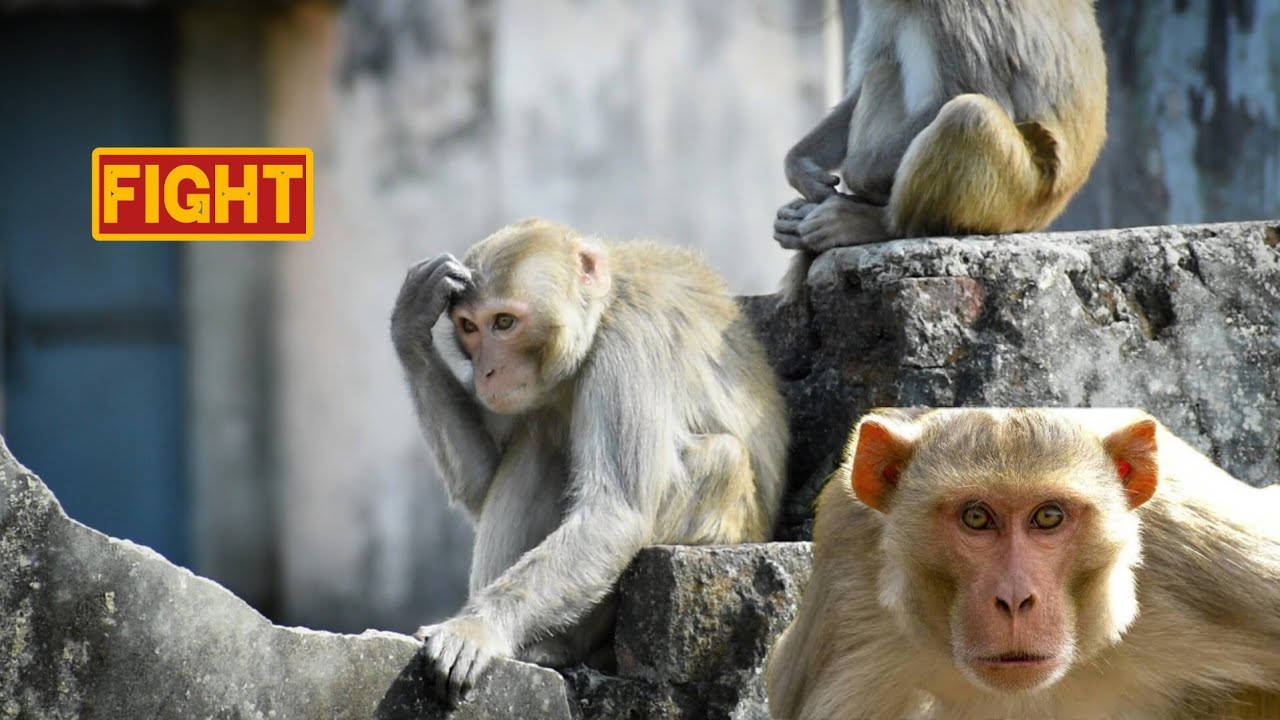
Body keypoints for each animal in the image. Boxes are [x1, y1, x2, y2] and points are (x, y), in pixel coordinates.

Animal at [390, 218, 789, 704]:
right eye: (469, 326)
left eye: (503, 323)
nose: (486, 372)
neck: (601, 315)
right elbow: (481, 485)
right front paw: (410, 321)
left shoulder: (630, 343)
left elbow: (616, 513)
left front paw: (478, 627)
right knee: (539, 439)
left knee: (721, 459)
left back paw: (555, 648)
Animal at [774, 0, 1107, 301]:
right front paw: (802, 170)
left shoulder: (956, 8)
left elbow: (975, 91)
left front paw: (855, 177)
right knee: (885, 69)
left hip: (1021, 193)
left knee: (967, 116)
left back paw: (876, 223)